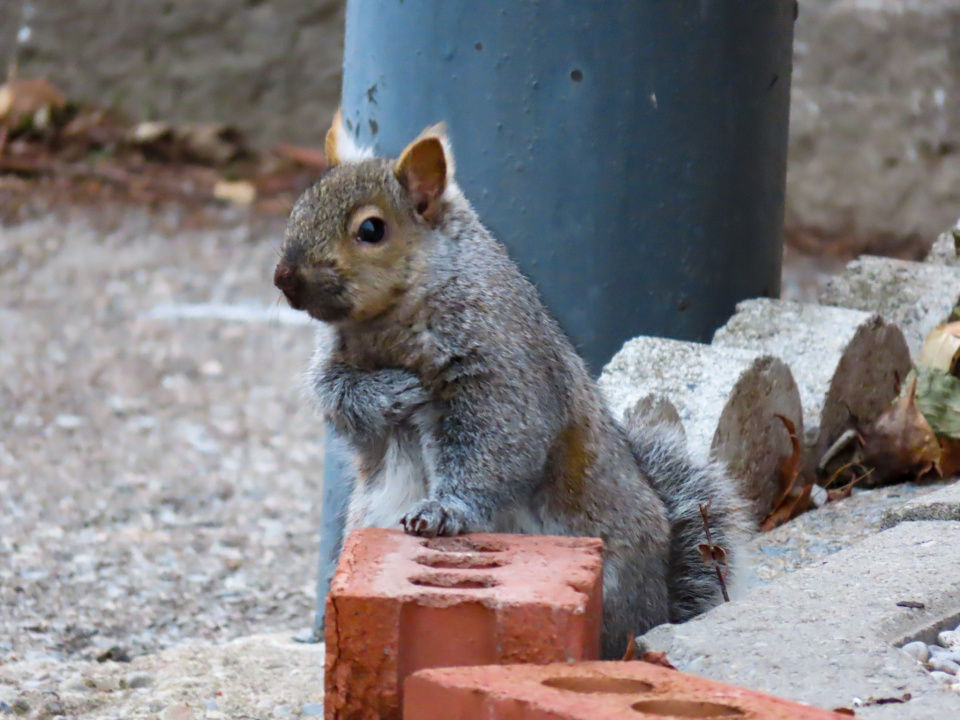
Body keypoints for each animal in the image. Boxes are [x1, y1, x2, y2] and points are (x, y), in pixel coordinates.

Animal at [274, 113, 750, 659]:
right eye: (299, 207)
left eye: (371, 229)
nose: (283, 278)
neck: (388, 323)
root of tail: (655, 611)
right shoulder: (337, 362)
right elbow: (336, 396)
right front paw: (390, 392)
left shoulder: (503, 370)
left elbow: (495, 446)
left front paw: (441, 512)